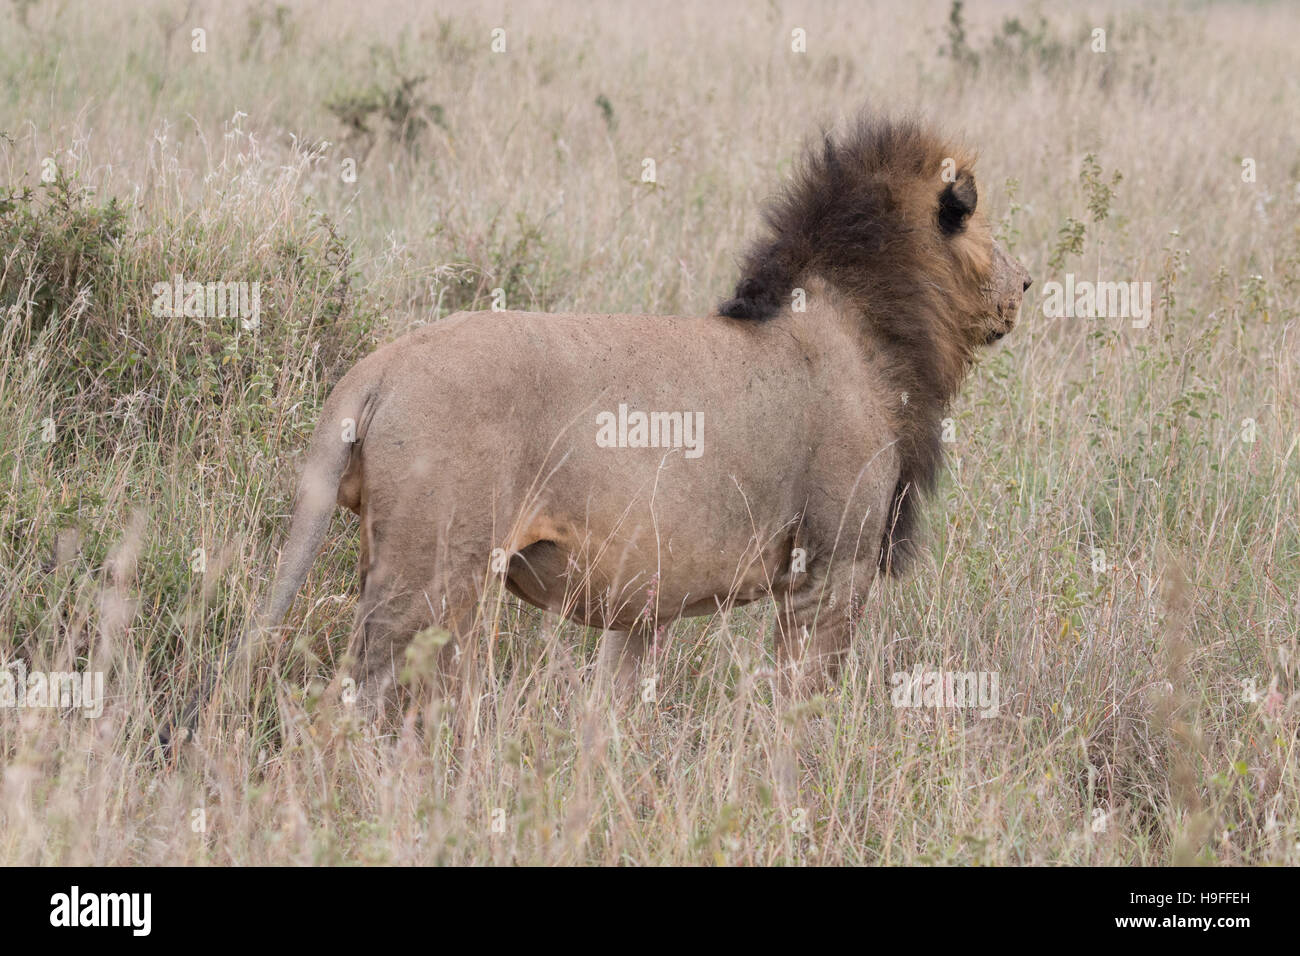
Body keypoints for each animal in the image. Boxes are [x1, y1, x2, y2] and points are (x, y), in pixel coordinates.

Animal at [171, 113, 1030, 737]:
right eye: (985, 224)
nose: (1026, 282)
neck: (866, 324)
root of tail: (377, 368)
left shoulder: (644, 601)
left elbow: (611, 708)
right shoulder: (832, 569)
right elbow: (799, 708)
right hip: (430, 574)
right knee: (350, 700)